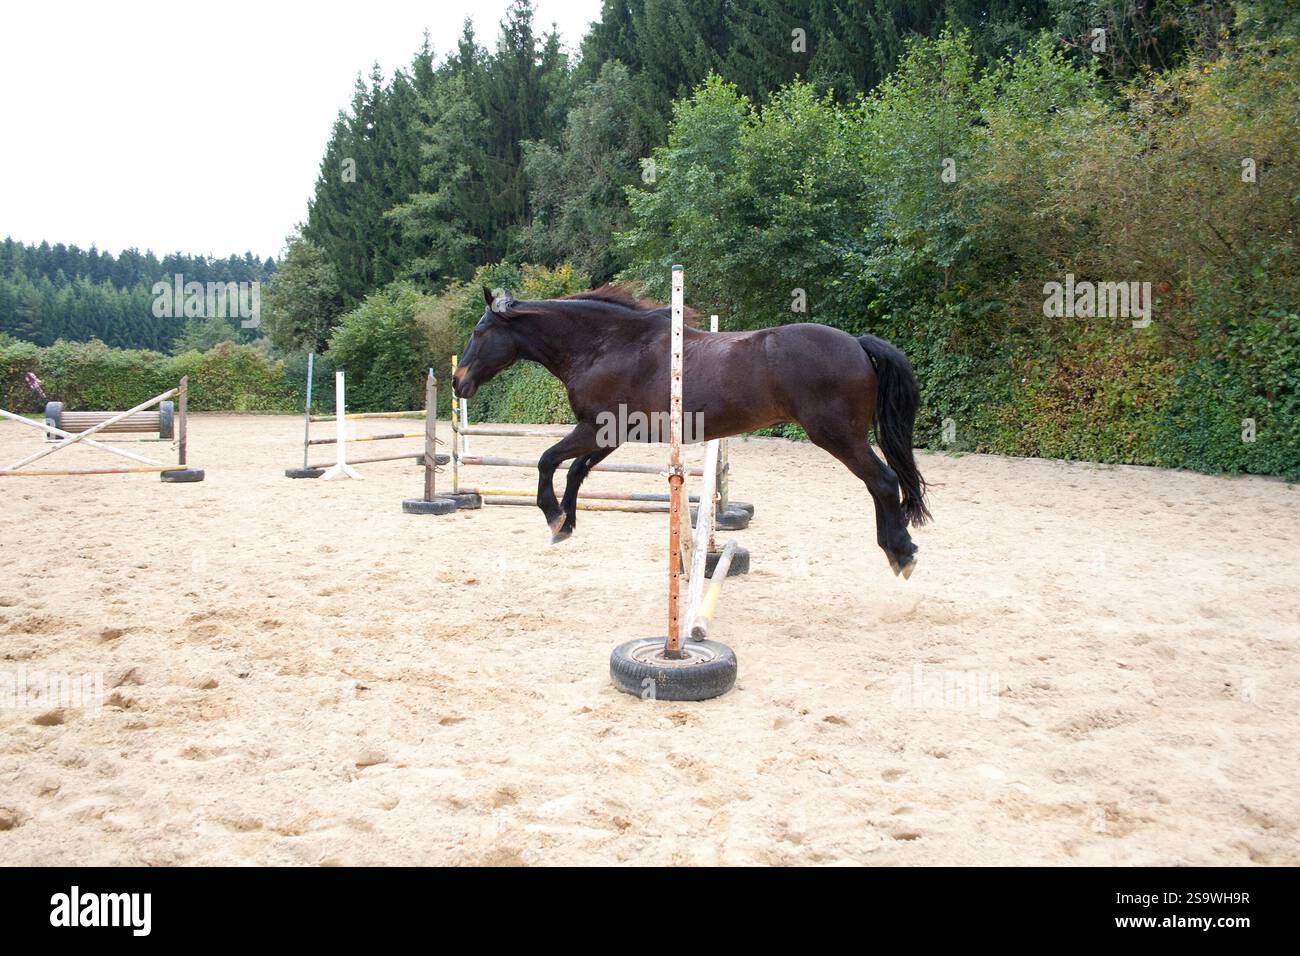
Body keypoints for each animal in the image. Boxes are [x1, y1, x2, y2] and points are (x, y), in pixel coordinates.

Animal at [451, 285, 930, 577]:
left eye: (479, 330)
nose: (458, 382)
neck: (607, 345)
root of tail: (857, 343)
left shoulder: (594, 428)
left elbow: (548, 460)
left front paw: (552, 515)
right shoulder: (610, 434)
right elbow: (575, 471)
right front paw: (565, 524)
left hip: (838, 437)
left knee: (883, 481)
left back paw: (902, 552)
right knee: (882, 483)